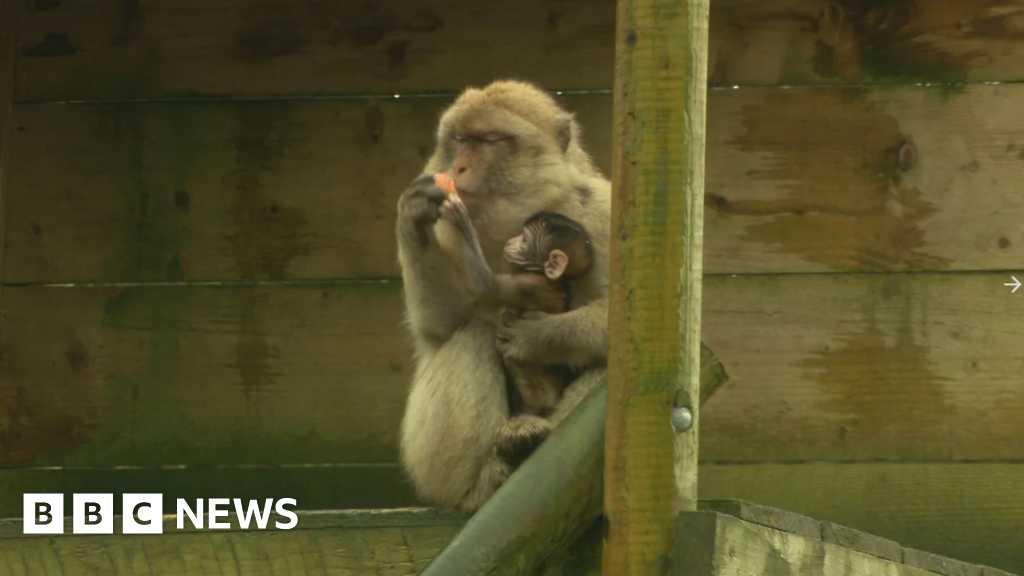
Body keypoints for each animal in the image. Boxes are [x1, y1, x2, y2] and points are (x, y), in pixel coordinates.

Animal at [438, 192, 595, 420]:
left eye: (524, 239)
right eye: (520, 235)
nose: (512, 240)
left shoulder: (530, 284)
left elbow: (487, 290)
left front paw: (460, 220)